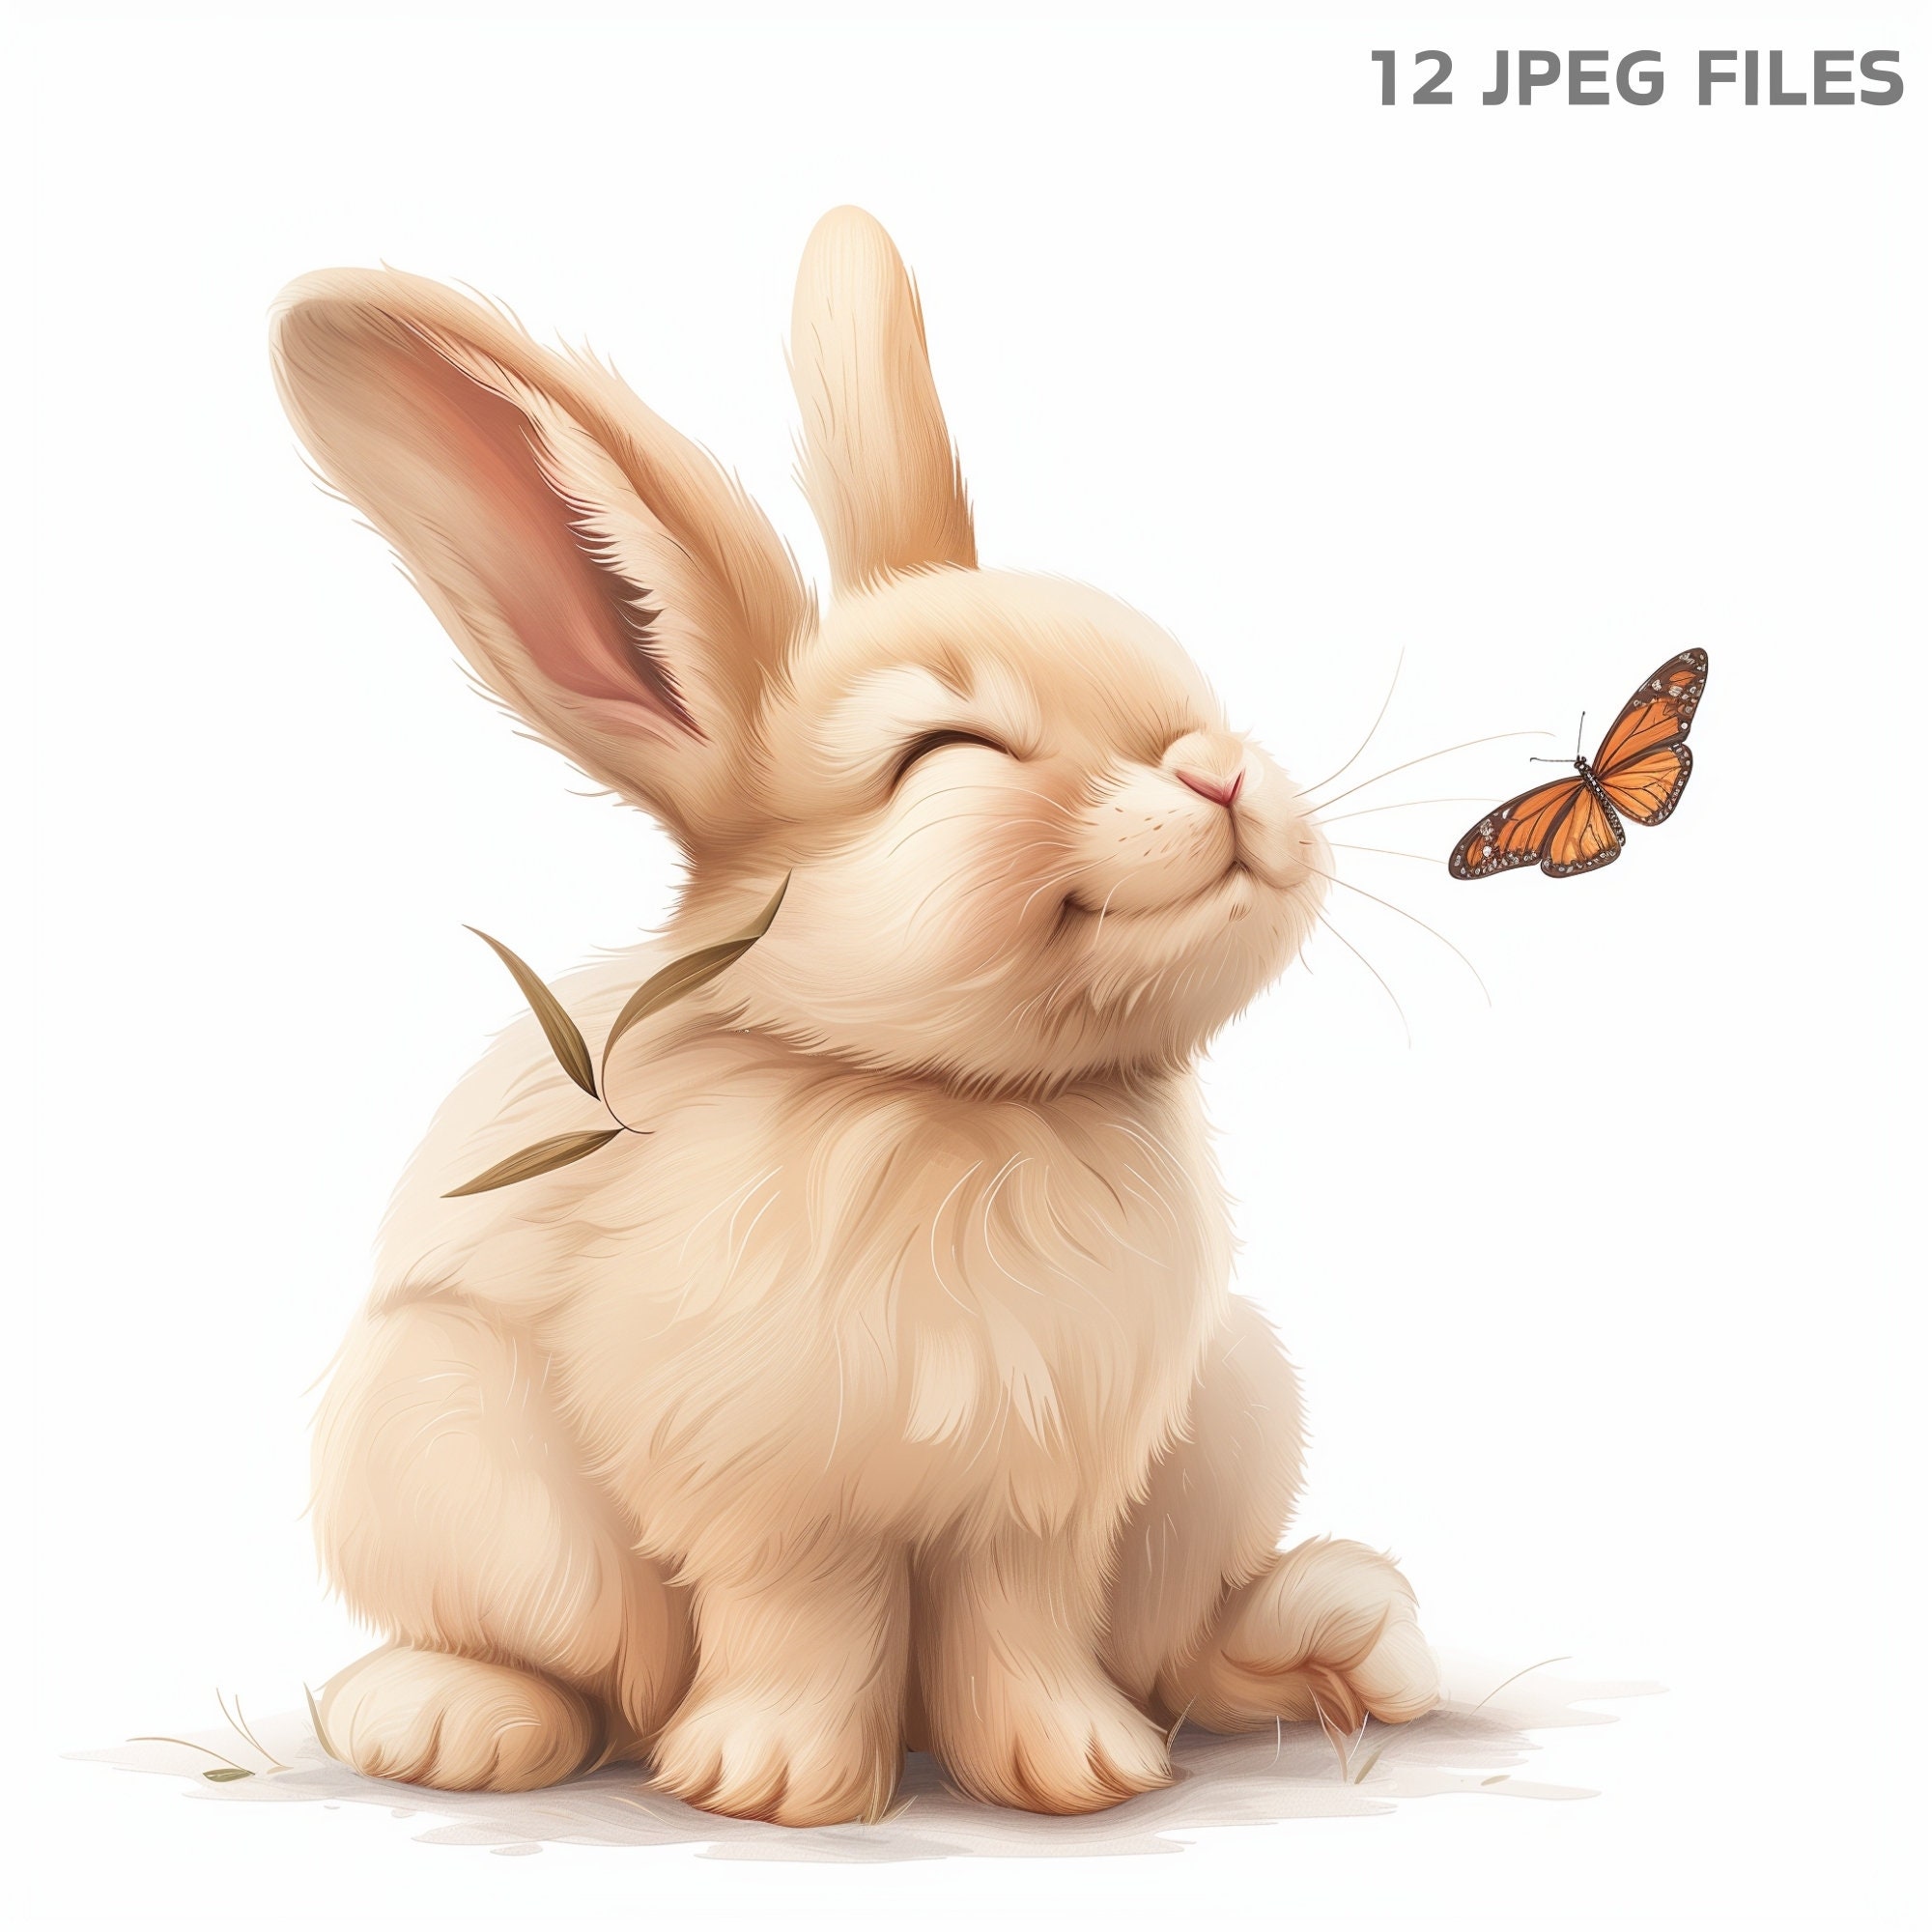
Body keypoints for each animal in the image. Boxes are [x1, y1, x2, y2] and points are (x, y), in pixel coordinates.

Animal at [269, 207, 1439, 1827]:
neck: (958, 1098)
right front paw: (777, 1789)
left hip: (1236, 1415)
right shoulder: (764, 1488)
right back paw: (448, 1721)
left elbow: (1023, 1626)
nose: (1219, 771)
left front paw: (1074, 1777)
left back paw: (1346, 1643)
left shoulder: (1050, 1499)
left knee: (1172, 1646)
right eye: (946, 752)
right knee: (576, 1670)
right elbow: (804, 1617)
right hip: (441, 1453)